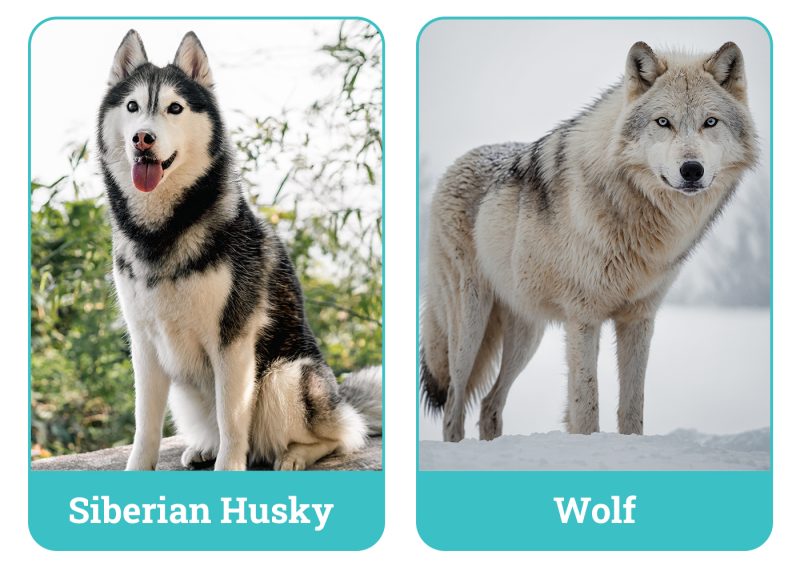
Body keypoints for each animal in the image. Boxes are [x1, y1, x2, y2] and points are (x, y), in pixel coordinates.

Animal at [98, 30, 381, 470]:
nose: (142, 137)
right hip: (186, 391)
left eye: (174, 108)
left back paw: (295, 454)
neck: (162, 230)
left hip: (286, 377)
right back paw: (204, 447)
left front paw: (230, 465)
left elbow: (232, 418)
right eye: (132, 106)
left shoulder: (232, 340)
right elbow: (145, 425)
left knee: (341, 433)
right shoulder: (144, 344)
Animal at [420, 41, 757, 442]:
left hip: (527, 334)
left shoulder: (639, 318)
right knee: (453, 406)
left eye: (710, 122)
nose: (692, 170)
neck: (635, 212)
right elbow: (586, 405)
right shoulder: (583, 317)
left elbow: (633, 406)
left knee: (489, 403)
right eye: (663, 122)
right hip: (469, 326)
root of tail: (454, 165)